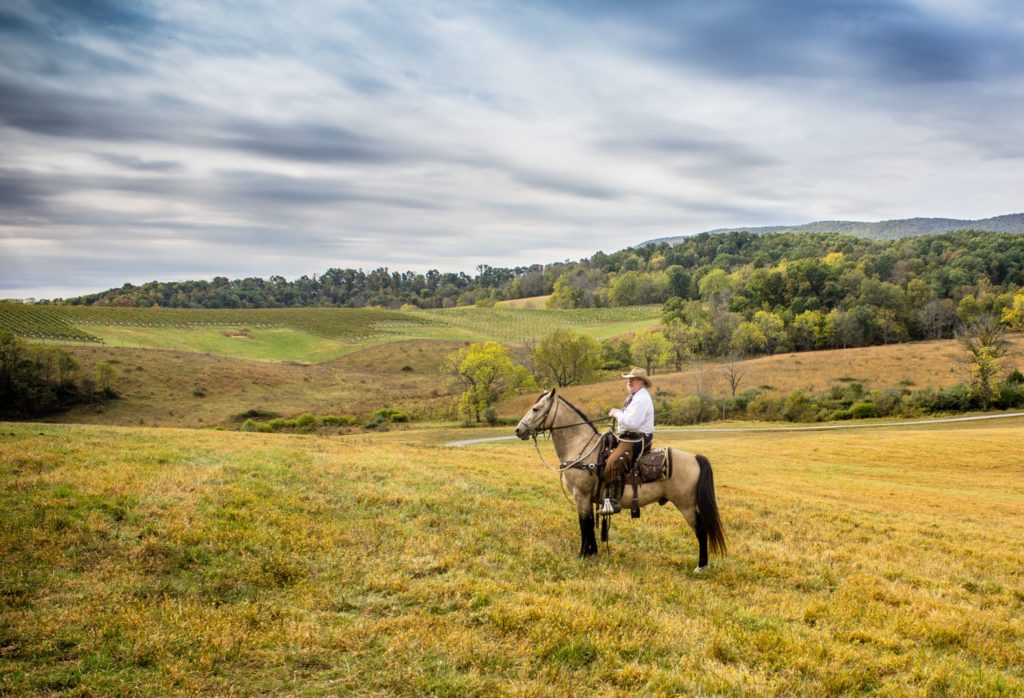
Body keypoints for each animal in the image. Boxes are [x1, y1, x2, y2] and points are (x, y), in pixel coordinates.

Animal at [515, 388, 726, 570]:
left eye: (535, 408)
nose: (518, 430)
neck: (581, 447)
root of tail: (695, 457)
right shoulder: (590, 499)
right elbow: (591, 523)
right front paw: (593, 552)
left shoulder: (581, 495)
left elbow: (584, 524)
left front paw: (583, 554)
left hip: (687, 505)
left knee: (701, 531)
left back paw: (701, 566)